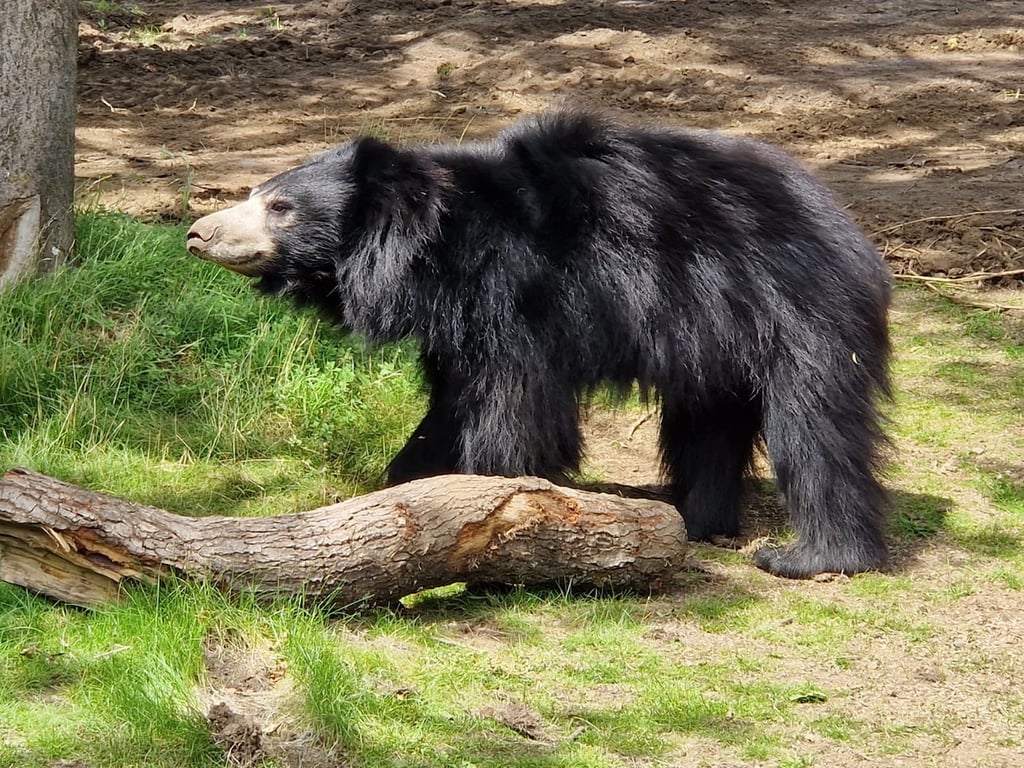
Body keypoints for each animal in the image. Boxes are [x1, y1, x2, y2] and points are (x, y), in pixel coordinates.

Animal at [186, 109, 893, 579]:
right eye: (254, 195)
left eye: (280, 208)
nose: (197, 232)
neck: (437, 248)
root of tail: (845, 226)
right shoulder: (457, 325)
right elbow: (451, 402)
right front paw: (411, 481)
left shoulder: (518, 296)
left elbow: (513, 405)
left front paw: (493, 498)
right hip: (714, 337)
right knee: (708, 424)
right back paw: (699, 522)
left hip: (794, 307)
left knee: (815, 426)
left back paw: (810, 556)